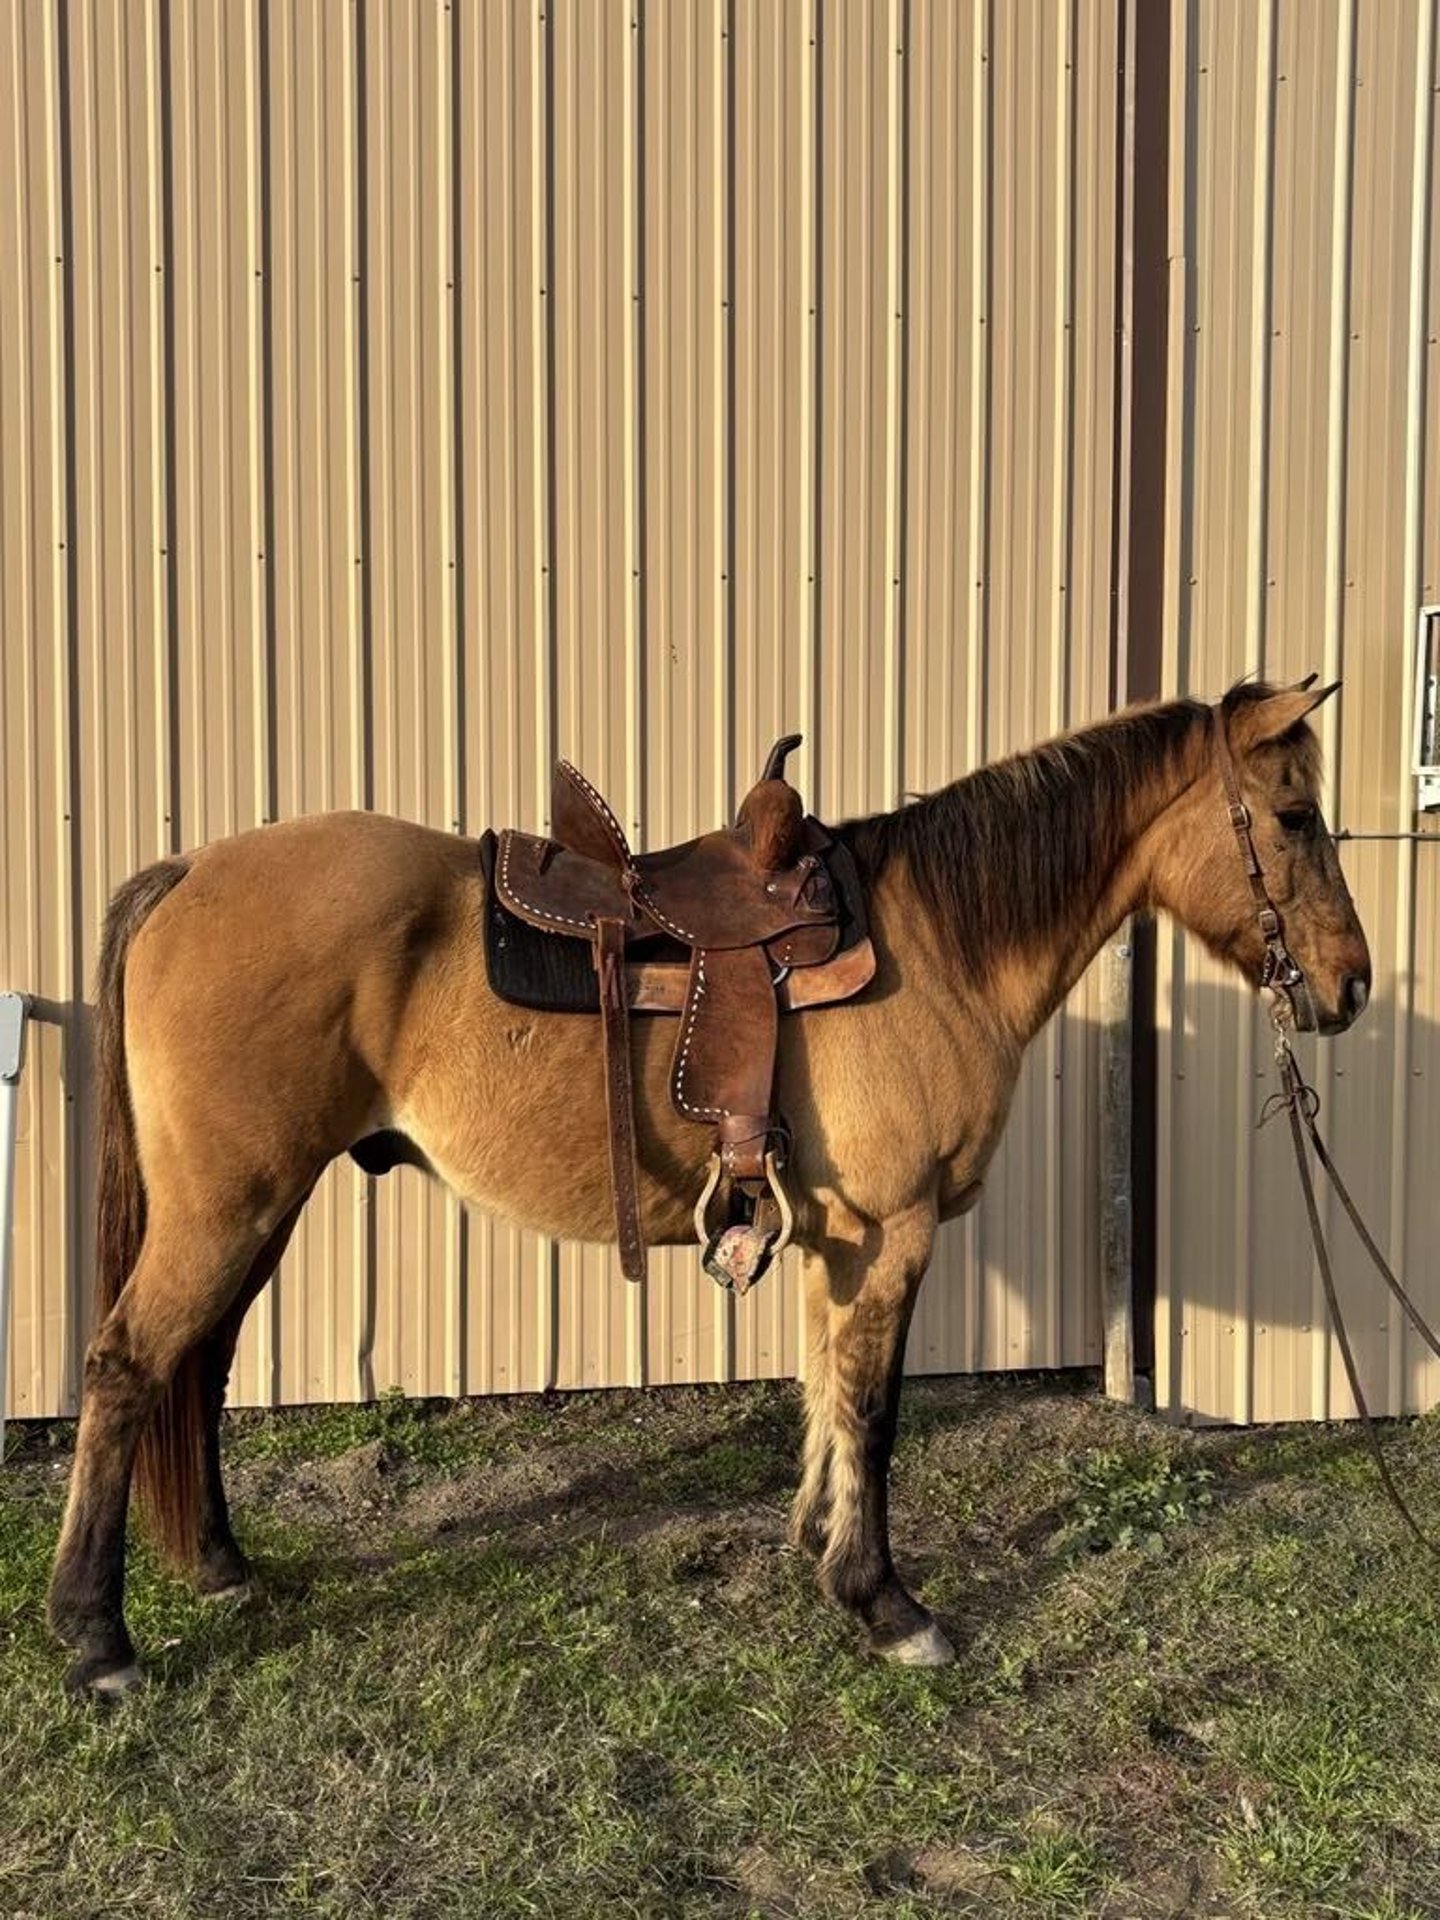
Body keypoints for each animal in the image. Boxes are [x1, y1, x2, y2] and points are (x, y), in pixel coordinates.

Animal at [47, 679, 1371, 1695]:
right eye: (1295, 816)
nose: (1351, 986)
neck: (941, 941)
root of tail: (187, 871)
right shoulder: (893, 1232)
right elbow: (874, 1409)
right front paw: (884, 1602)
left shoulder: (836, 1236)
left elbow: (825, 1386)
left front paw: (816, 1542)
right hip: (227, 1206)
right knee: (126, 1367)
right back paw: (97, 1637)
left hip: (255, 1207)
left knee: (198, 1366)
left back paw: (220, 1566)